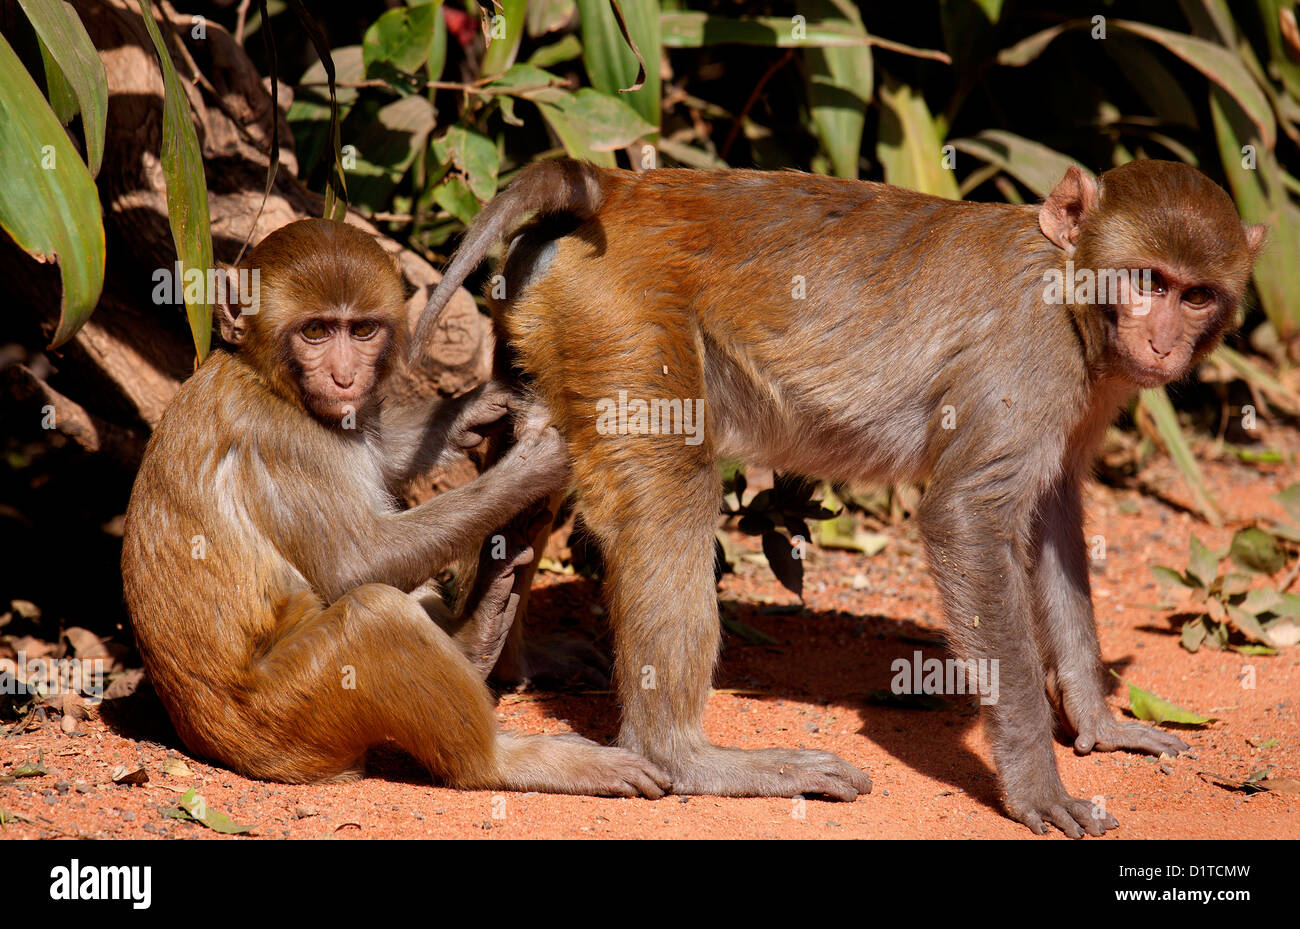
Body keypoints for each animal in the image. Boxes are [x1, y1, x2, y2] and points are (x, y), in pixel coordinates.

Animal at [121, 218, 671, 797]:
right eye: (315, 332)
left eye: (362, 330)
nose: (344, 379)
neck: (263, 376)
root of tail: (211, 739)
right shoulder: (286, 440)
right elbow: (355, 567)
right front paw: (532, 466)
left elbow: (380, 455)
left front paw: (472, 410)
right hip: (289, 716)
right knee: (375, 615)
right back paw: (500, 757)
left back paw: (475, 635)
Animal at [411, 158, 1265, 835]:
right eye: (1148, 280)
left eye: (1196, 296)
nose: (1163, 342)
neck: (1071, 289)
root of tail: (613, 185)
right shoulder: (1029, 354)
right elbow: (967, 516)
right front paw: (1035, 786)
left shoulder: (1086, 396)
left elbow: (1054, 519)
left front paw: (1098, 722)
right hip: (619, 315)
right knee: (675, 489)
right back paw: (686, 758)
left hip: (552, 322)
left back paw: (499, 646)